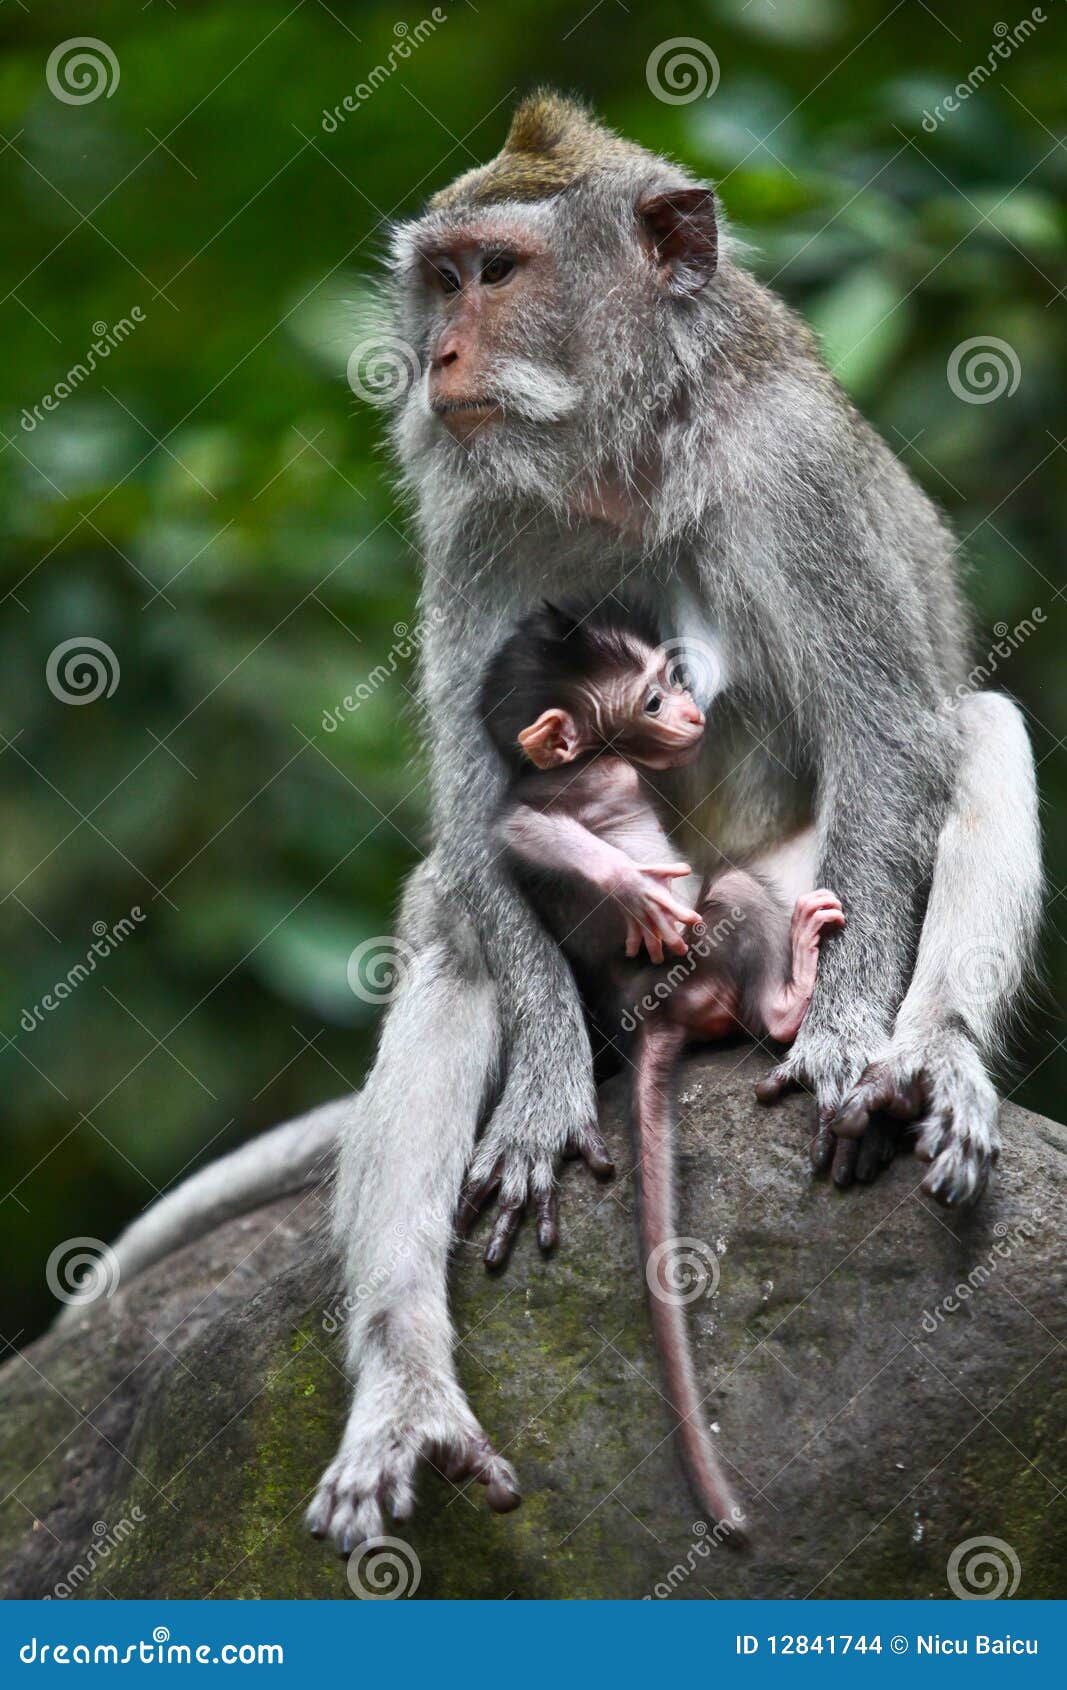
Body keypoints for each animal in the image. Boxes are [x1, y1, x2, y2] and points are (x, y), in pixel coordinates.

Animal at [478, 597, 845, 1532]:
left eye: (670, 679)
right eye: (647, 699)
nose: (689, 712)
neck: (595, 765)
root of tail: (655, 1020)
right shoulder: (574, 784)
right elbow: (516, 830)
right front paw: (629, 887)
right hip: (705, 955)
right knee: (739, 899)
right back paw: (790, 991)